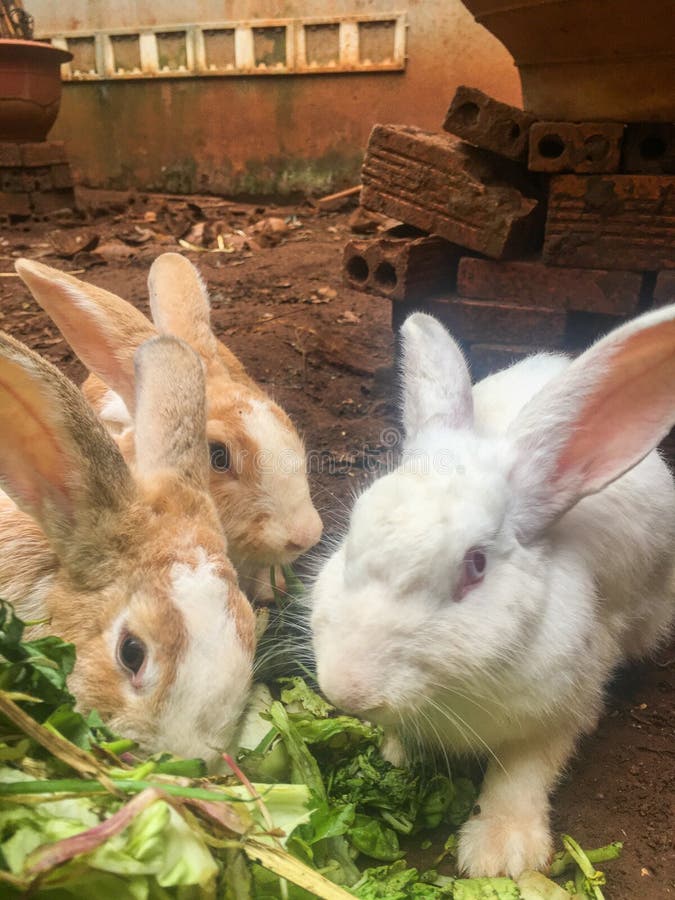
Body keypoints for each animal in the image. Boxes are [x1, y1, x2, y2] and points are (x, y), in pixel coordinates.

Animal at [311, 308, 675, 878]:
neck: (449, 695)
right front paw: (395, 754)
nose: (346, 690)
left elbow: (523, 772)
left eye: (476, 565)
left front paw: (501, 853)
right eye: (351, 533)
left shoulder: (564, 707)